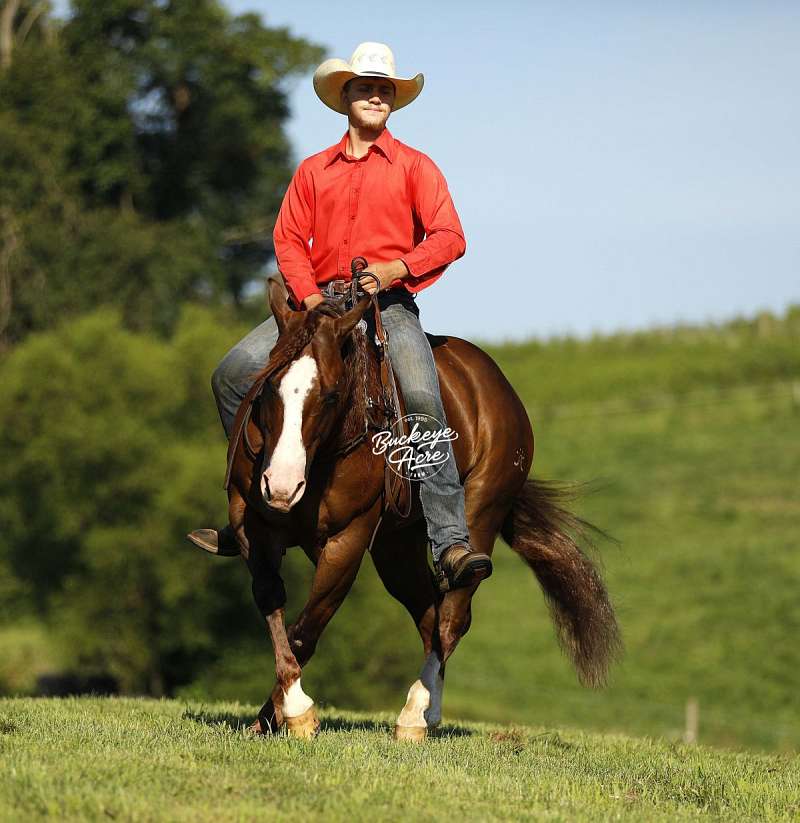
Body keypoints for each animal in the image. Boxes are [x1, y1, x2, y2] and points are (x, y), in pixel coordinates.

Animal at [224, 278, 621, 740]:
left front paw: (297, 713)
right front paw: (274, 714)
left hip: (480, 514)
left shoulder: (347, 541)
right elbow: (273, 604)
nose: (282, 487)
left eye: (332, 395)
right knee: (429, 613)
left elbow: (306, 628)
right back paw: (428, 709)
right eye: (270, 386)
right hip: (395, 546)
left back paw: (415, 715)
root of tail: (495, 384)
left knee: (452, 616)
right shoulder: (254, 528)